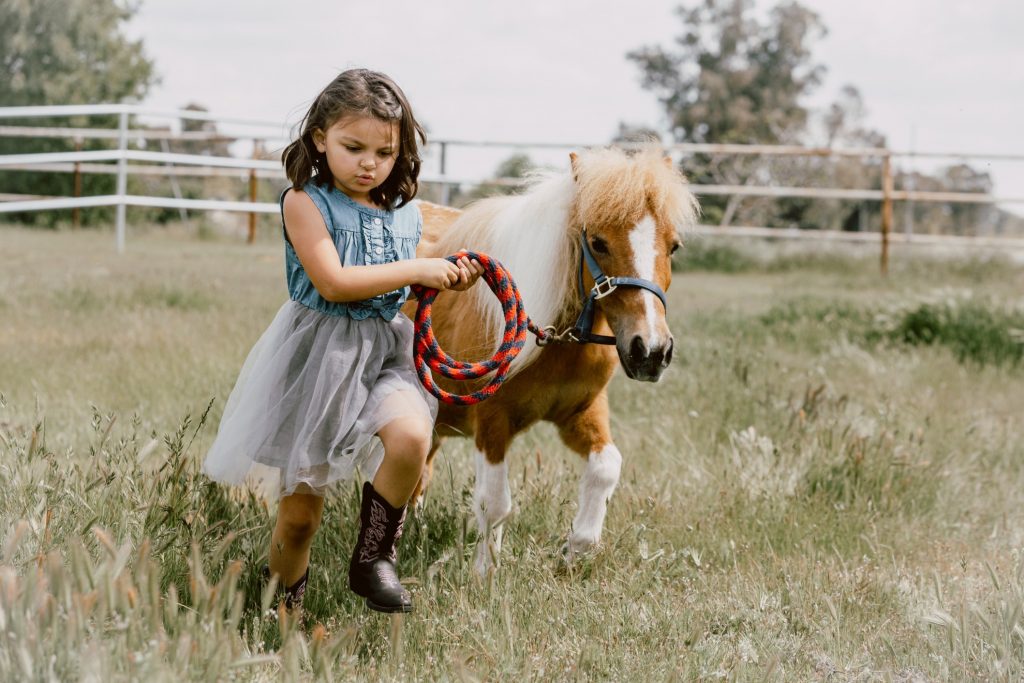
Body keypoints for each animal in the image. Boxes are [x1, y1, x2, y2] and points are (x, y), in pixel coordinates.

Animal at [405, 147, 699, 576]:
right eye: (598, 243)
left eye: (673, 246)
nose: (651, 351)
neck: (554, 339)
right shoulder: (492, 422)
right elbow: (494, 502)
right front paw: (484, 573)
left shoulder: (582, 412)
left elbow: (606, 468)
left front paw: (575, 550)